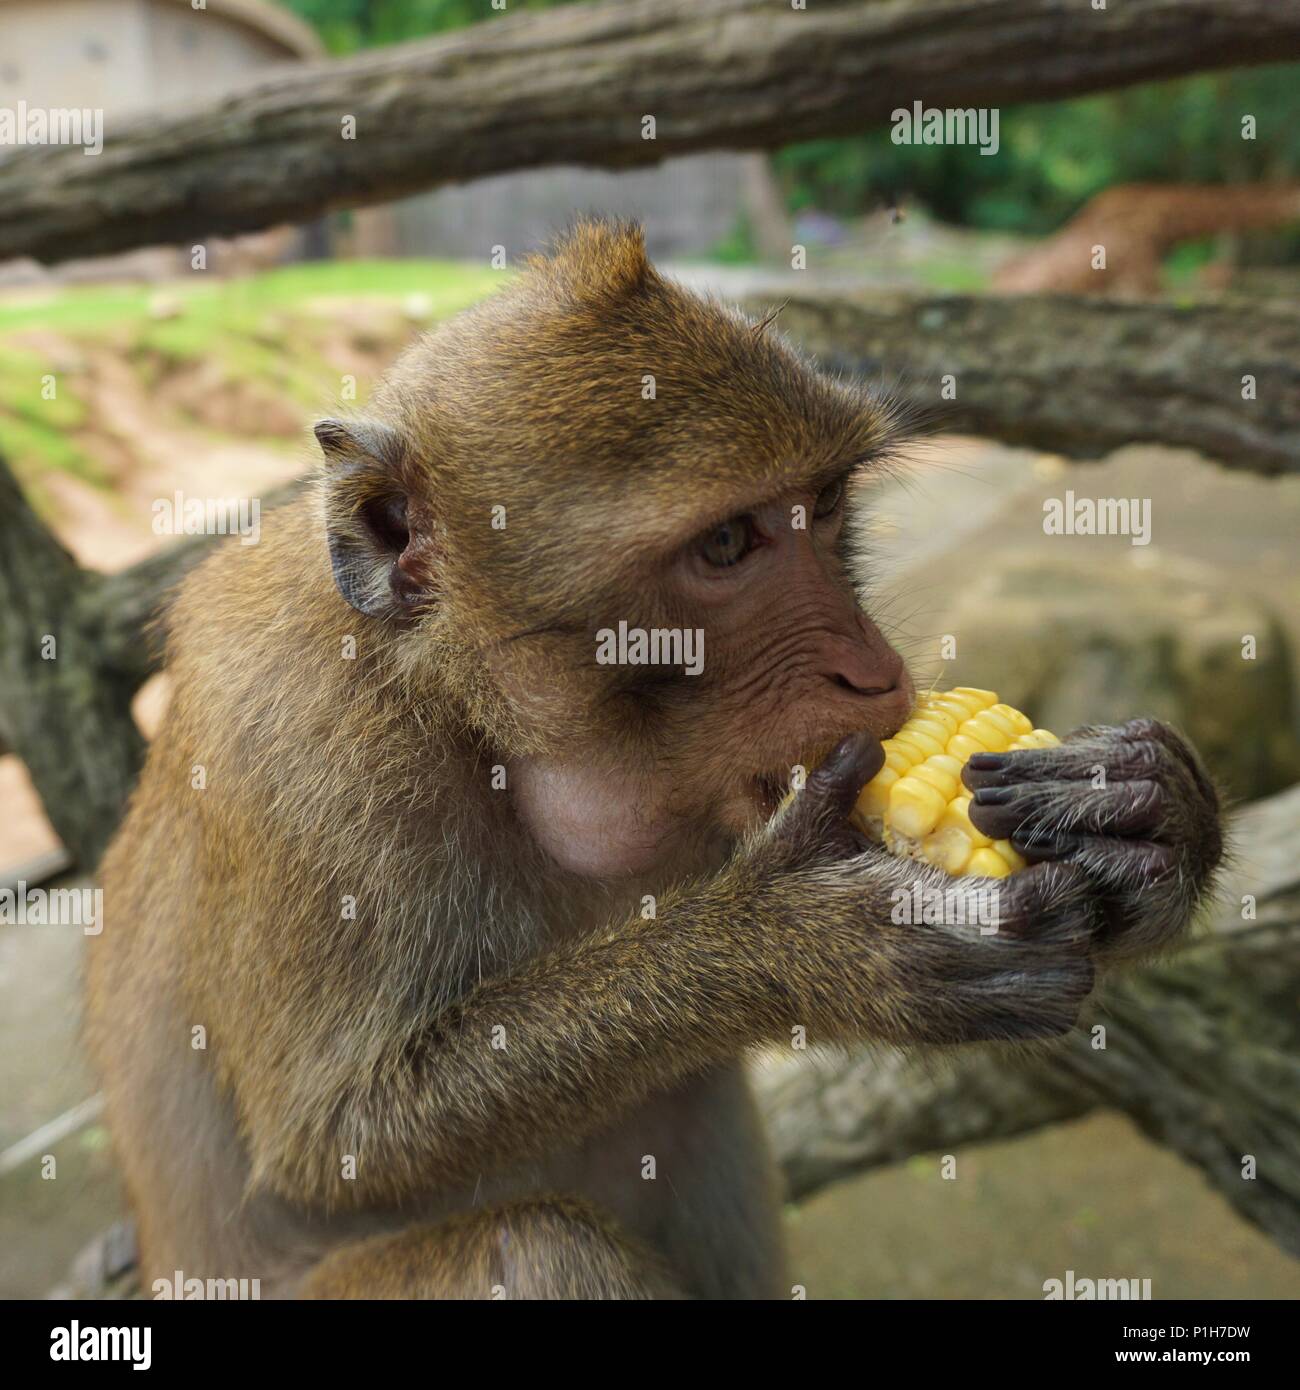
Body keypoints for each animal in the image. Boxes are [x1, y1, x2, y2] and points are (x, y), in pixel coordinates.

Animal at [86, 221, 1223, 1300]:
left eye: (821, 508)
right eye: (725, 545)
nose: (872, 671)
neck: (472, 717)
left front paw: (1149, 817)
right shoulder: (300, 747)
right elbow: (334, 1141)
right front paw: (807, 946)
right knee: (535, 1249)